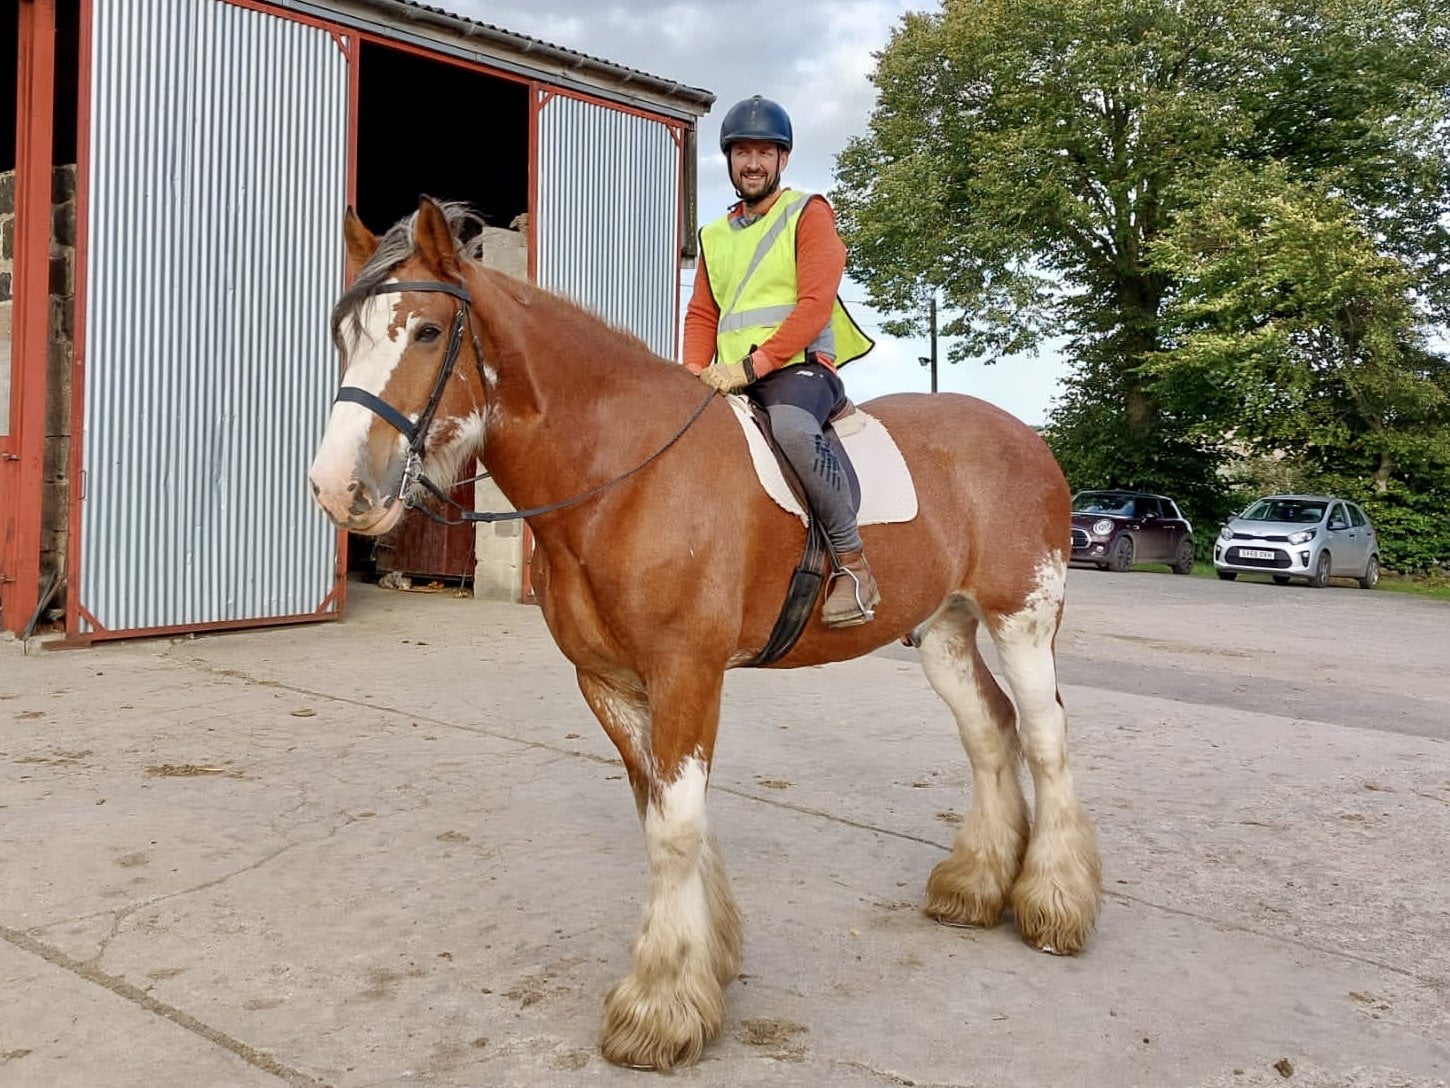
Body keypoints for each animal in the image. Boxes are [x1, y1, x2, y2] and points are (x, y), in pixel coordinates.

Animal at [308, 197, 1101, 1070]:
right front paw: (706, 964)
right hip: (945, 630)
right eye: (345, 335)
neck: (626, 476)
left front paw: (658, 1010)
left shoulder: (687, 671)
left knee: (1044, 735)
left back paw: (1055, 905)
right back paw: (973, 887)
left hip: (1022, 618)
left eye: (424, 331)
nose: (337, 488)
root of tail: (1024, 436)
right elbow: (659, 812)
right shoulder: (609, 683)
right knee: (990, 731)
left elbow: (675, 829)